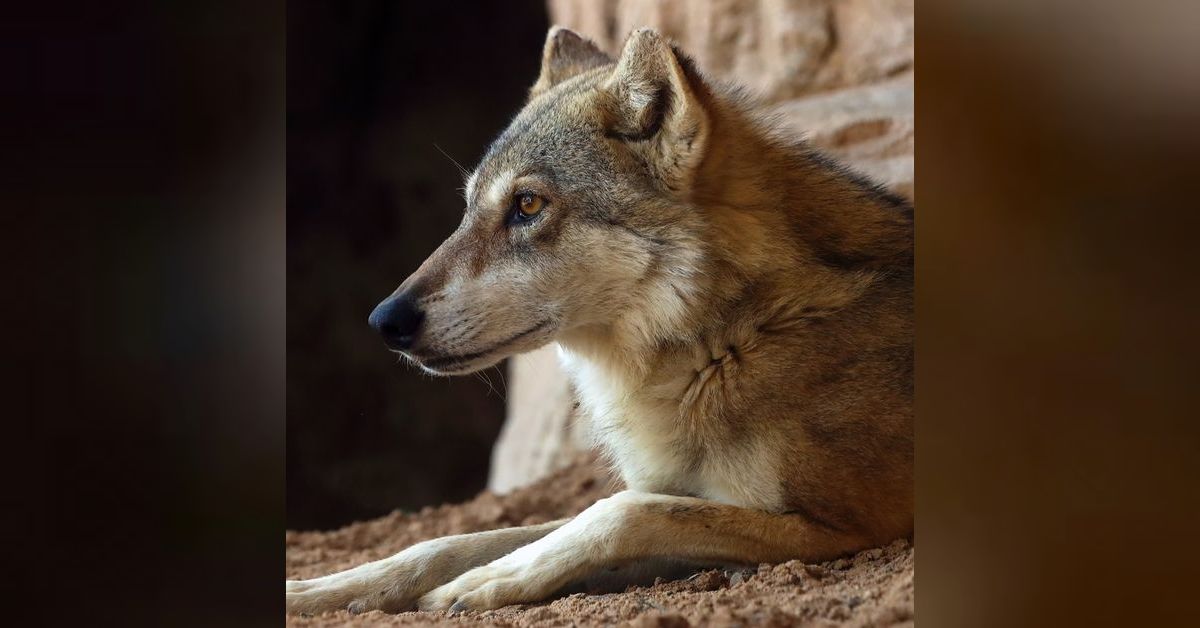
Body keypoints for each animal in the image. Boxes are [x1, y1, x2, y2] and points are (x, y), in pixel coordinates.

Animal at [287, 25, 912, 615]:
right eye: (467, 211)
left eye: (527, 205)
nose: (384, 321)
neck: (733, 339)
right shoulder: (681, 491)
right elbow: (445, 543)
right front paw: (314, 590)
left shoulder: (841, 528)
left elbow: (618, 512)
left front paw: (487, 581)